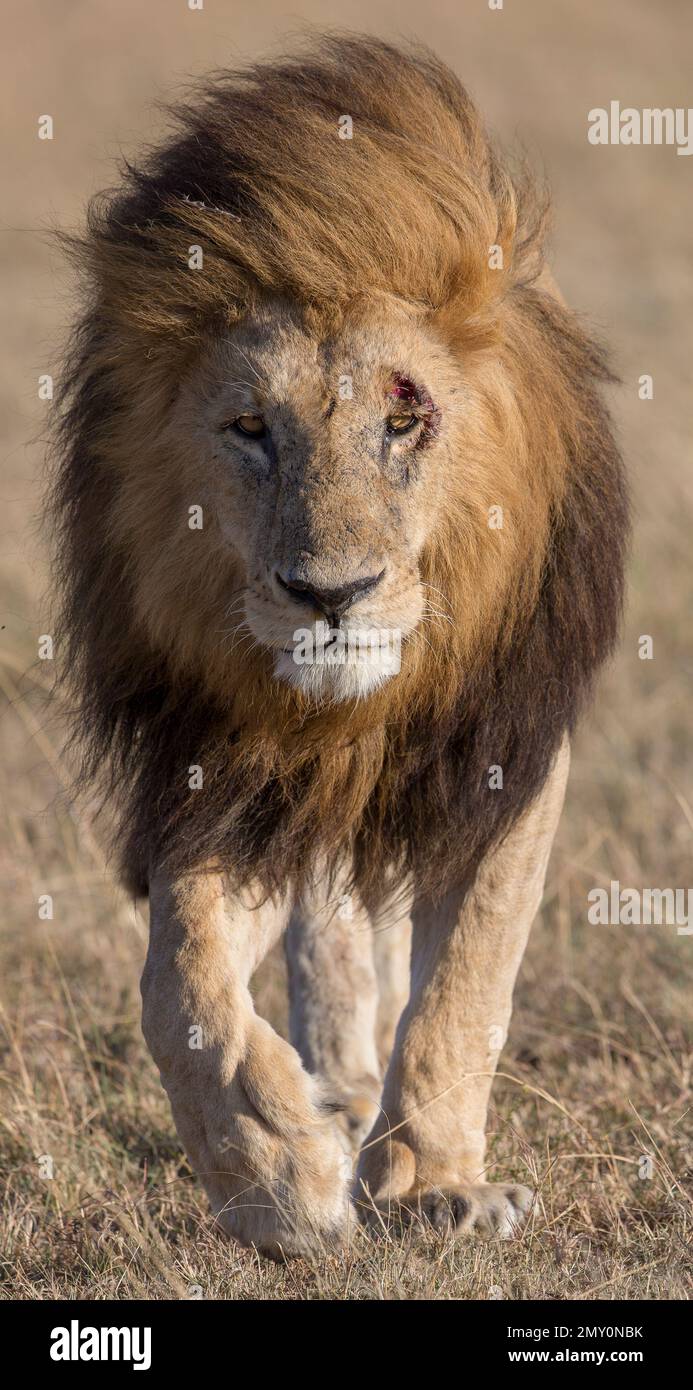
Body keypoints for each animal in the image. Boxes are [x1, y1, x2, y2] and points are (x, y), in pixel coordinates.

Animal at [51, 35, 628, 1257]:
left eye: (405, 419)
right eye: (250, 429)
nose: (331, 594)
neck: (348, 711)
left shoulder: (502, 748)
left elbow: (466, 978)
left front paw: (433, 1187)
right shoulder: (221, 769)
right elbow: (180, 986)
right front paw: (277, 1172)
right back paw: (339, 1092)